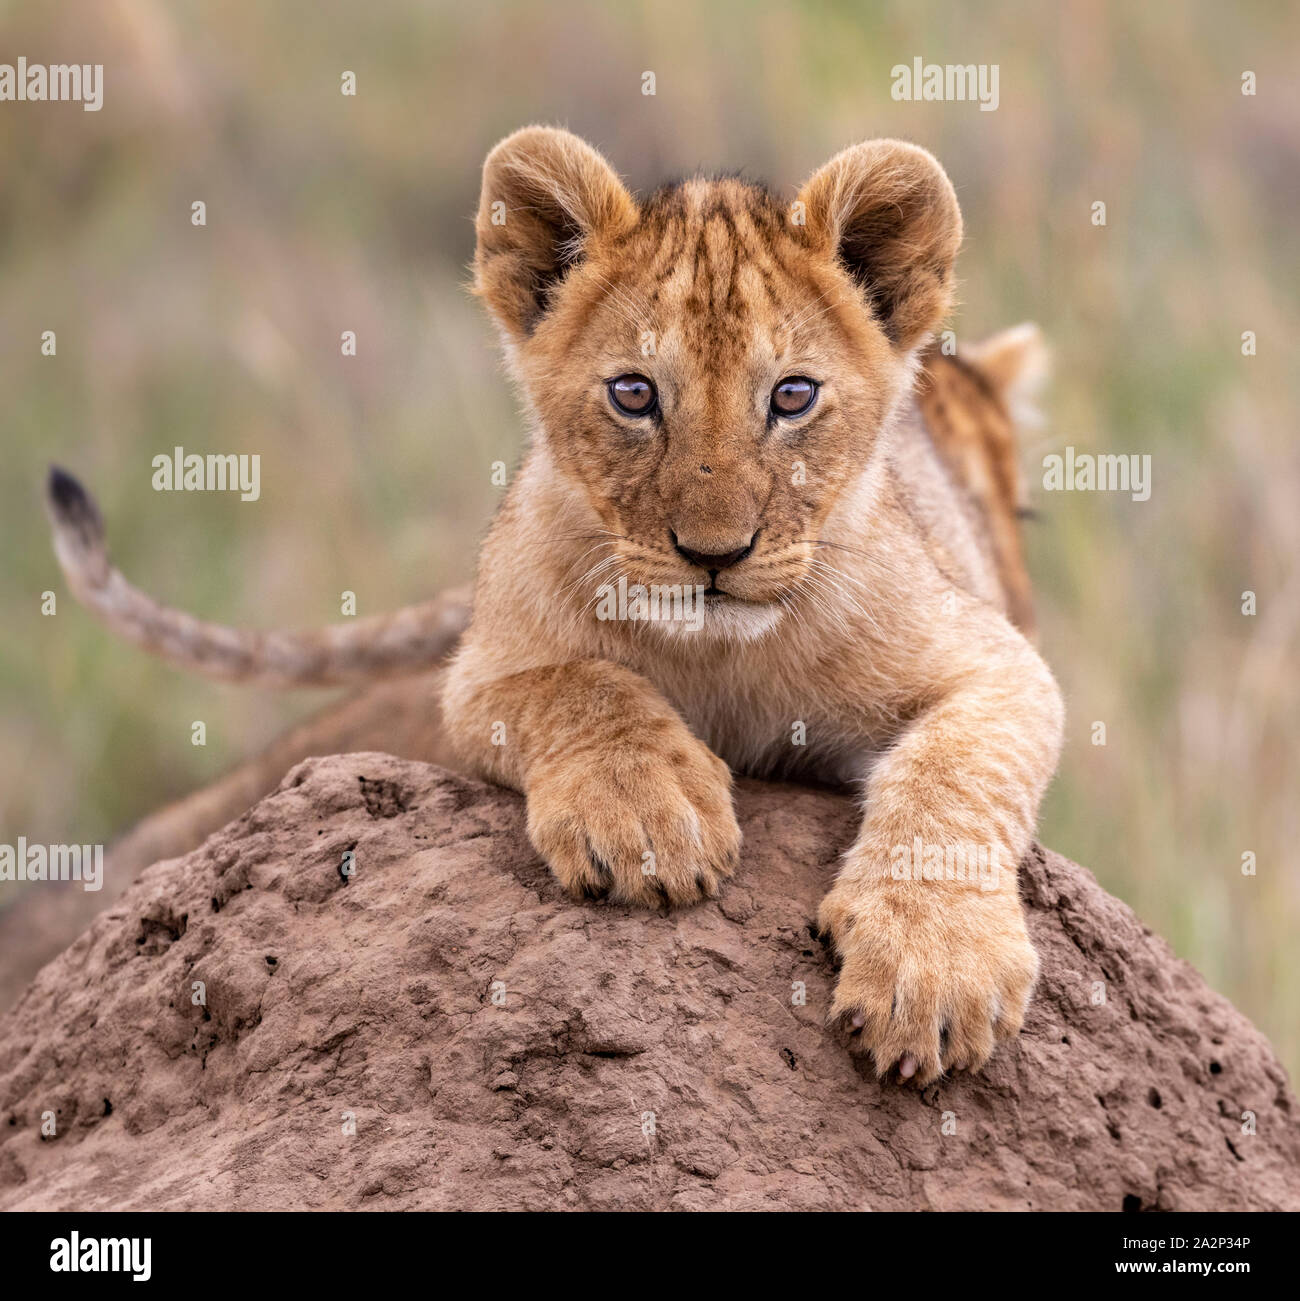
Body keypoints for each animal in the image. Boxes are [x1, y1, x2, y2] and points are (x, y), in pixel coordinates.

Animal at [43, 128, 1059, 1085]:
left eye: (793, 395)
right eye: (635, 394)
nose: (714, 555)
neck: (720, 653)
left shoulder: (996, 660)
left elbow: (958, 773)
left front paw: (933, 971)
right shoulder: (481, 672)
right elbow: (583, 685)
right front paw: (646, 816)